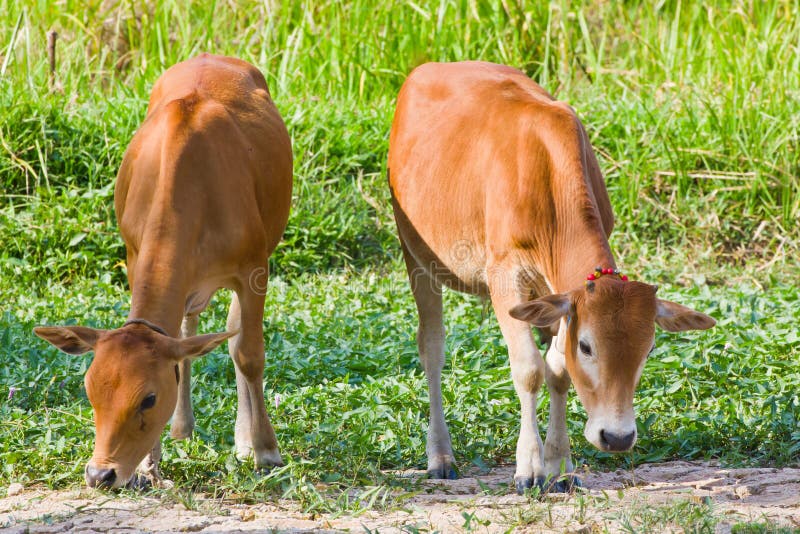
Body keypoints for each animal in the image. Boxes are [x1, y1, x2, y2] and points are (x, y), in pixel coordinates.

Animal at [34, 54, 292, 489]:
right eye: (90, 391)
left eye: (149, 398)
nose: (100, 473)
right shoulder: (135, 256)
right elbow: (182, 342)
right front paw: (147, 466)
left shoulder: (254, 268)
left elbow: (248, 353)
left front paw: (265, 450)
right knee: (189, 329)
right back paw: (182, 428)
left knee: (233, 334)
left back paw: (244, 439)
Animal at [387, 61, 715, 494]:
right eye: (588, 347)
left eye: (648, 350)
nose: (618, 437)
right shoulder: (504, 275)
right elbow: (528, 369)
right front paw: (530, 466)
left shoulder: (561, 298)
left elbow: (558, 371)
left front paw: (560, 464)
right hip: (416, 254)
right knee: (432, 348)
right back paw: (440, 455)